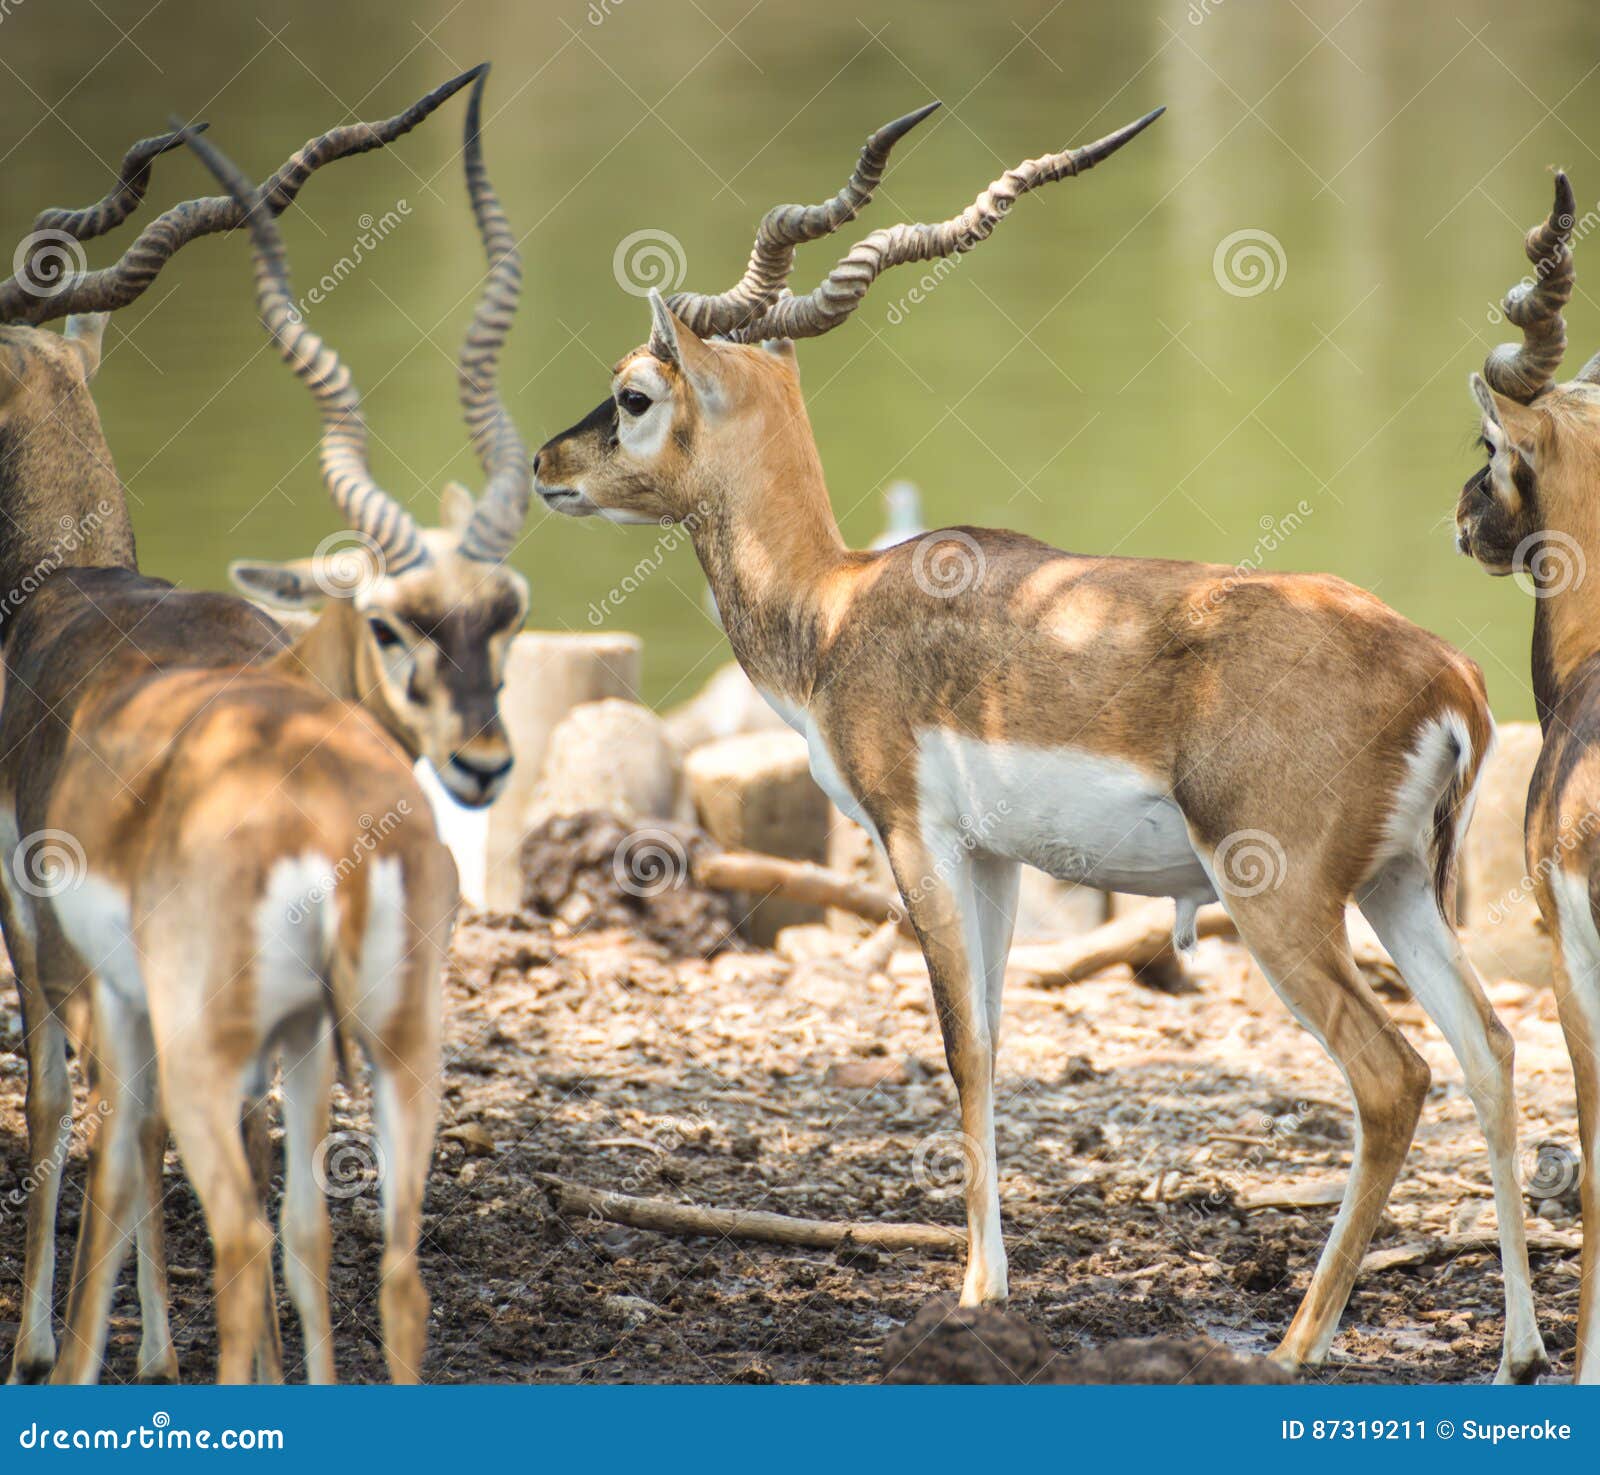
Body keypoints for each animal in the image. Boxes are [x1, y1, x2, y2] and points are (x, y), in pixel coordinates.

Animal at [1, 66, 532, 1382]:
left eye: (502, 616)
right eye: (402, 621)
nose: (485, 759)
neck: (71, 587)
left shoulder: (62, 958)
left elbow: (78, 1134)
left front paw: (63, 1349)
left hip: (211, 1024)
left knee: (229, 1223)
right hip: (389, 1036)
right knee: (381, 1256)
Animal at [534, 104, 1549, 1381]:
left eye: (632, 393)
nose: (544, 463)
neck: (838, 605)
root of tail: (1446, 672)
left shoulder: (914, 835)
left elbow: (960, 1044)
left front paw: (975, 1291)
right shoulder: (998, 857)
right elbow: (996, 1035)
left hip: (1278, 897)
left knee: (1394, 1074)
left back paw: (1294, 1340)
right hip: (1398, 883)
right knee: (1491, 1051)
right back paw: (1519, 1351)